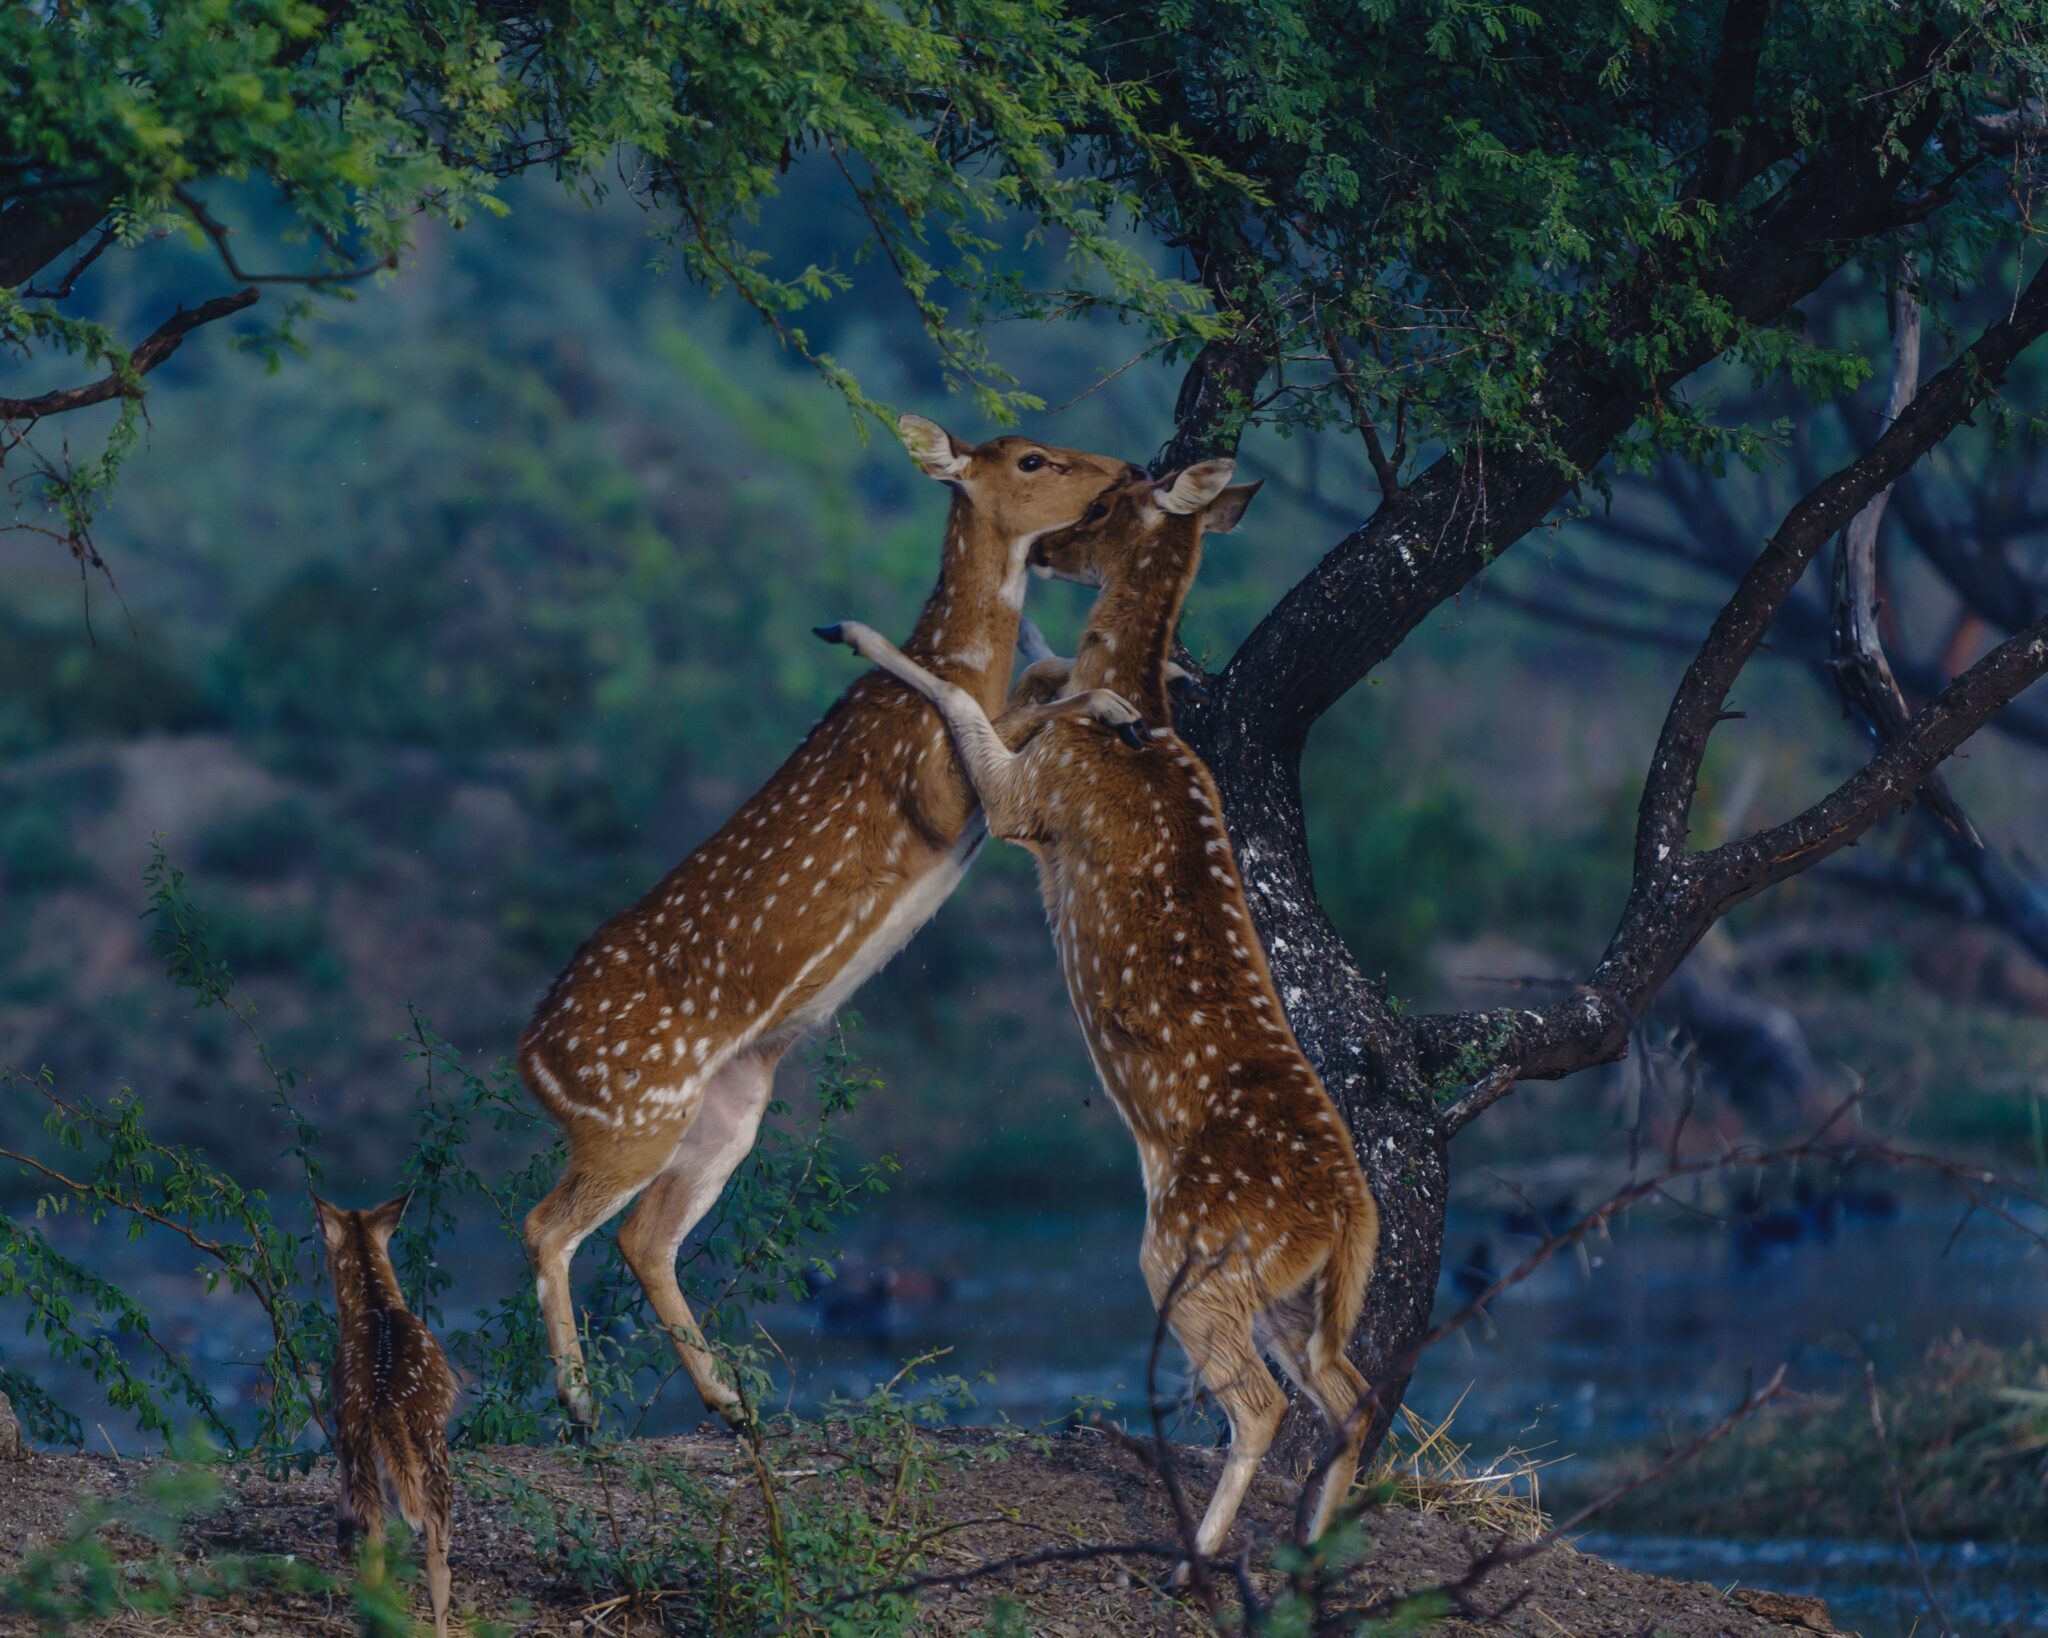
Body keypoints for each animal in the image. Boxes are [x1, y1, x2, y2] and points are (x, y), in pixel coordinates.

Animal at [313, 1192, 457, 1638]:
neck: (377, 1304)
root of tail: (384, 1402)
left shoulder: (337, 1414)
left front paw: (341, 1539)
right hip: (430, 1444)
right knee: (434, 1552)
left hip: (368, 1439)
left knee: (378, 1536)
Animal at [519, 416, 1142, 1430]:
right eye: (1031, 459)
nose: (1127, 469)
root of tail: (530, 1060)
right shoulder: (935, 786)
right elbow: (1013, 712)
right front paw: (1115, 703)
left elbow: (1036, 683)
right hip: (630, 1114)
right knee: (550, 1224)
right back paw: (581, 1404)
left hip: (724, 1110)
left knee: (644, 1237)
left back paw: (732, 1403)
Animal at [816, 458, 1381, 1560]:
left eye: (1116, 501)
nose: (1056, 547)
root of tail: (1347, 1213)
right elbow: (1036, 677)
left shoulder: (1029, 804)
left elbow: (965, 700)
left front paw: (854, 631)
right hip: (1298, 1291)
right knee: (1352, 1392)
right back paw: (1304, 1547)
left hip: (1191, 1249)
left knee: (1264, 1402)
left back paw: (1196, 1557)